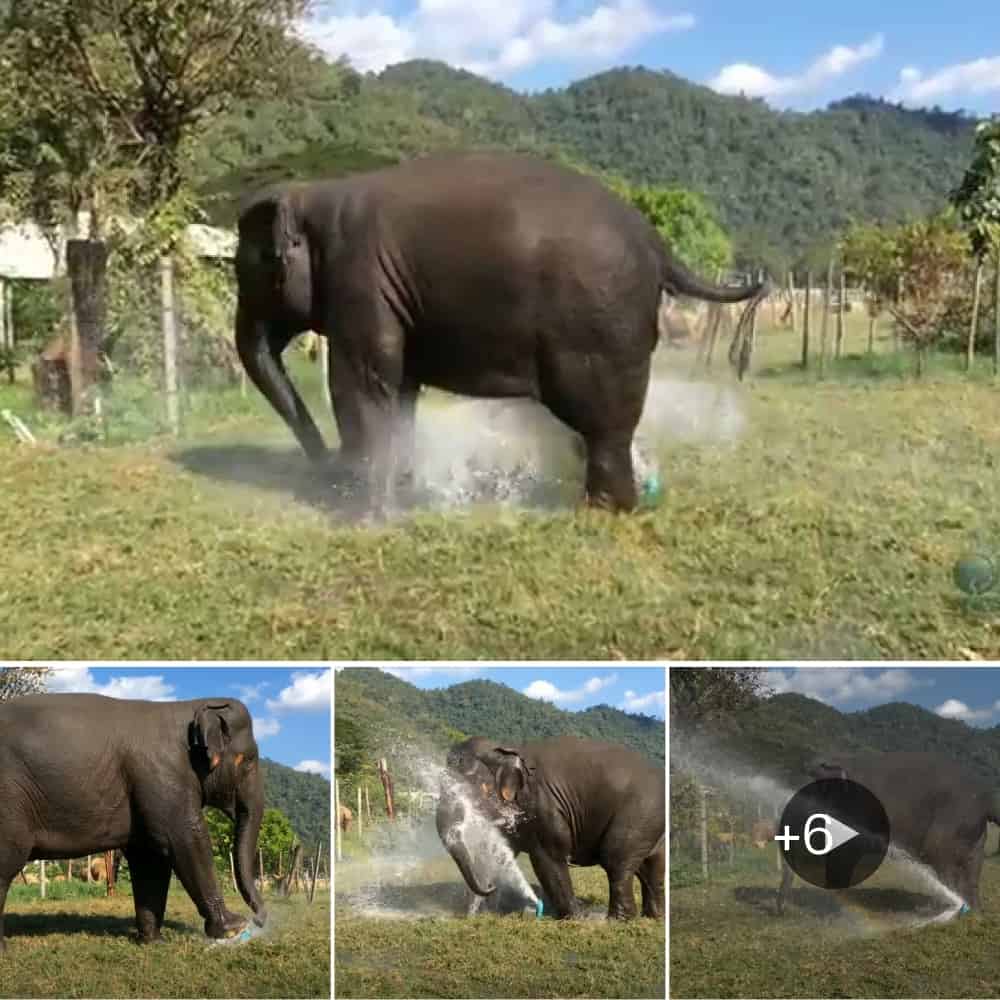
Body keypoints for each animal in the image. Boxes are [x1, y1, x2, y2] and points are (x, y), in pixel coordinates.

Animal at [0, 694, 267, 950]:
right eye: (249, 760)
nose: (260, 920)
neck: (190, 706)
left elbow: (150, 858)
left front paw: (154, 942)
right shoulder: (163, 776)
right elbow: (188, 839)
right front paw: (234, 928)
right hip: (9, 802)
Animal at [234, 151, 767, 515]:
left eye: (251, 268)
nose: (323, 467)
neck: (316, 194)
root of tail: (658, 244)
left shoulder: (360, 281)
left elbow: (362, 382)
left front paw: (364, 515)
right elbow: (401, 386)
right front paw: (400, 494)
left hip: (600, 326)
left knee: (602, 422)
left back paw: (604, 511)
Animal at [435, 736, 665, 920]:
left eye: (463, 789)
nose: (491, 888)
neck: (508, 749)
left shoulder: (544, 807)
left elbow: (549, 858)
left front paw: (576, 919)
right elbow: (497, 856)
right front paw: (472, 916)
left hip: (639, 813)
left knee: (615, 860)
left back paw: (617, 921)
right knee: (651, 865)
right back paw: (652, 917)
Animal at [776, 751, 1000, 915]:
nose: (779, 911)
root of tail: (987, 799)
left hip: (952, 820)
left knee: (941, 861)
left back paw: (936, 910)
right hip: (974, 832)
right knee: (972, 867)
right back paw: (973, 913)